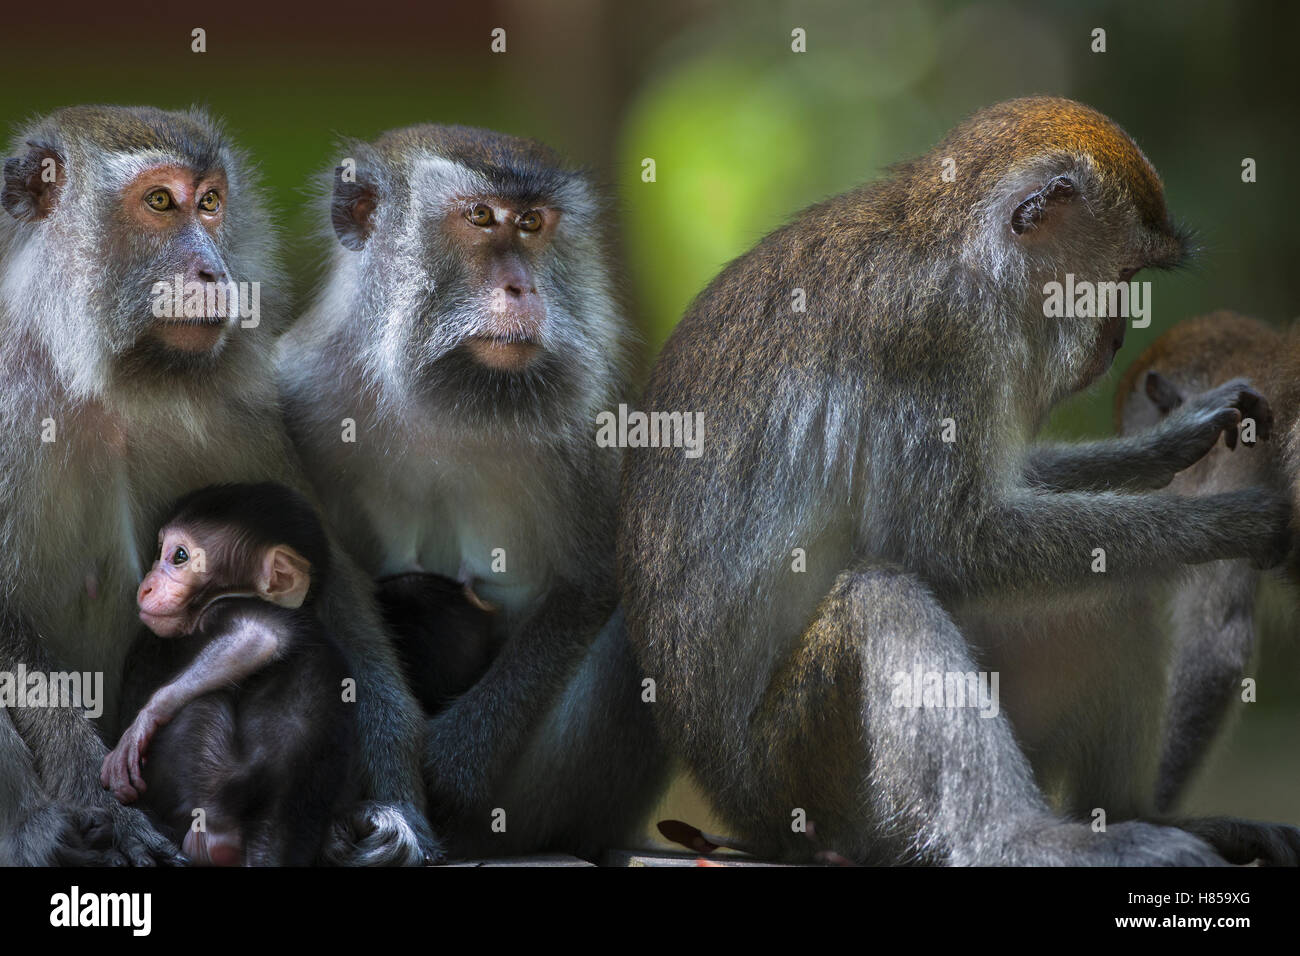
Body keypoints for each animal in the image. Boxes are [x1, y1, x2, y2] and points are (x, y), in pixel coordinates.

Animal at [101, 483, 358, 866]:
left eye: (179, 556)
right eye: (159, 552)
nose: (146, 586)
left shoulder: (231, 607)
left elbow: (256, 636)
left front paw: (143, 722)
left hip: (206, 771)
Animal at [617, 97, 1294, 865]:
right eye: (1118, 275)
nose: (1119, 332)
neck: (955, 248)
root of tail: (742, 820)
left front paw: (1178, 438)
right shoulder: (939, 331)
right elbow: (950, 544)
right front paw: (1236, 520)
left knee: (1114, 590)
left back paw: (1126, 815)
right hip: (802, 780)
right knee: (881, 604)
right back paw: (1029, 838)